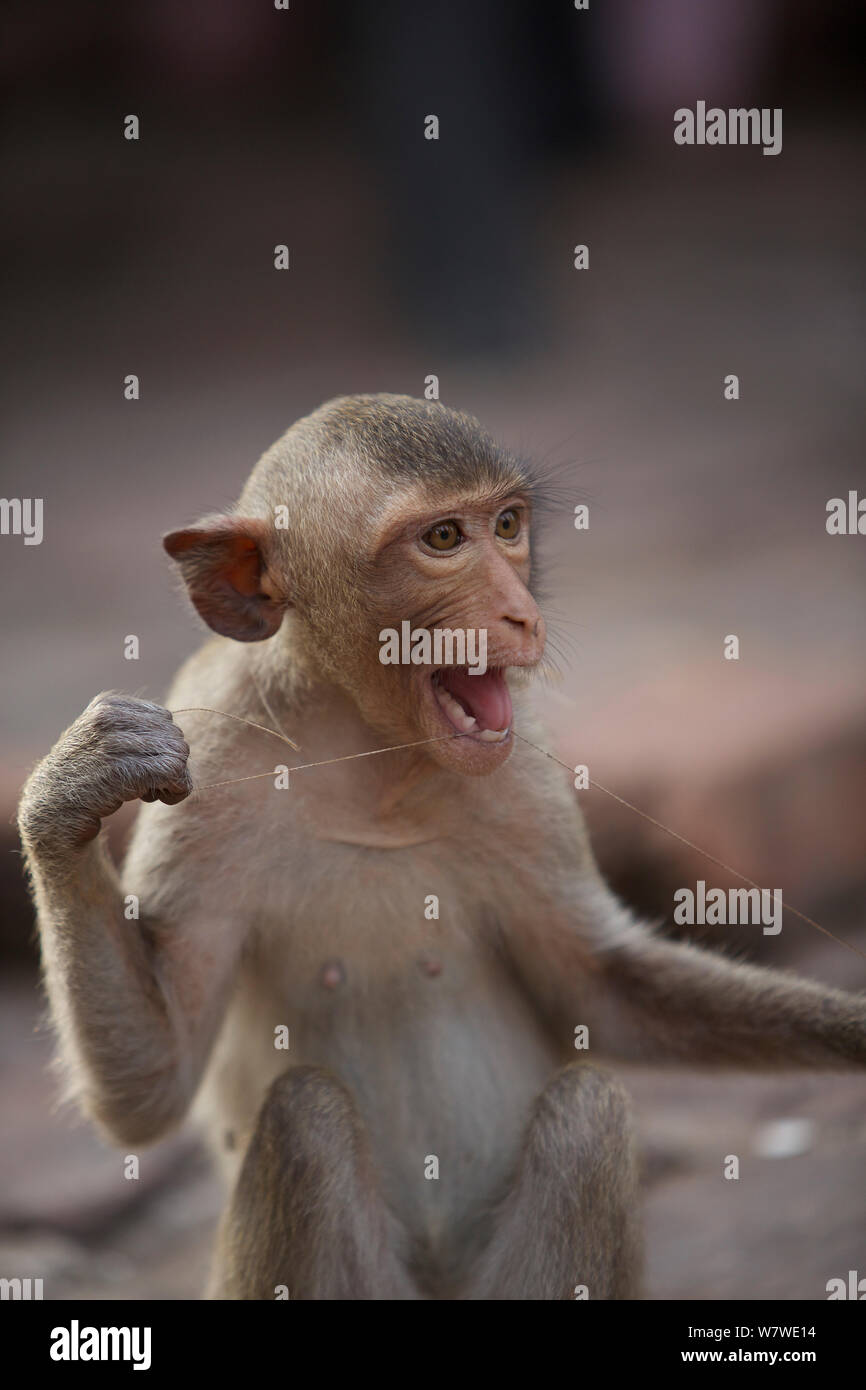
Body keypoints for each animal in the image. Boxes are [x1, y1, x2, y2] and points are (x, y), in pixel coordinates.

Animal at [17, 394, 866, 1300]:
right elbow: (152, 1087)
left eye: (508, 524)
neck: (372, 760)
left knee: (588, 1110)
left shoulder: (523, 775)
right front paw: (69, 795)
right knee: (308, 1116)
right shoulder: (210, 763)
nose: (521, 614)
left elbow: (602, 993)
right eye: (445, 540)